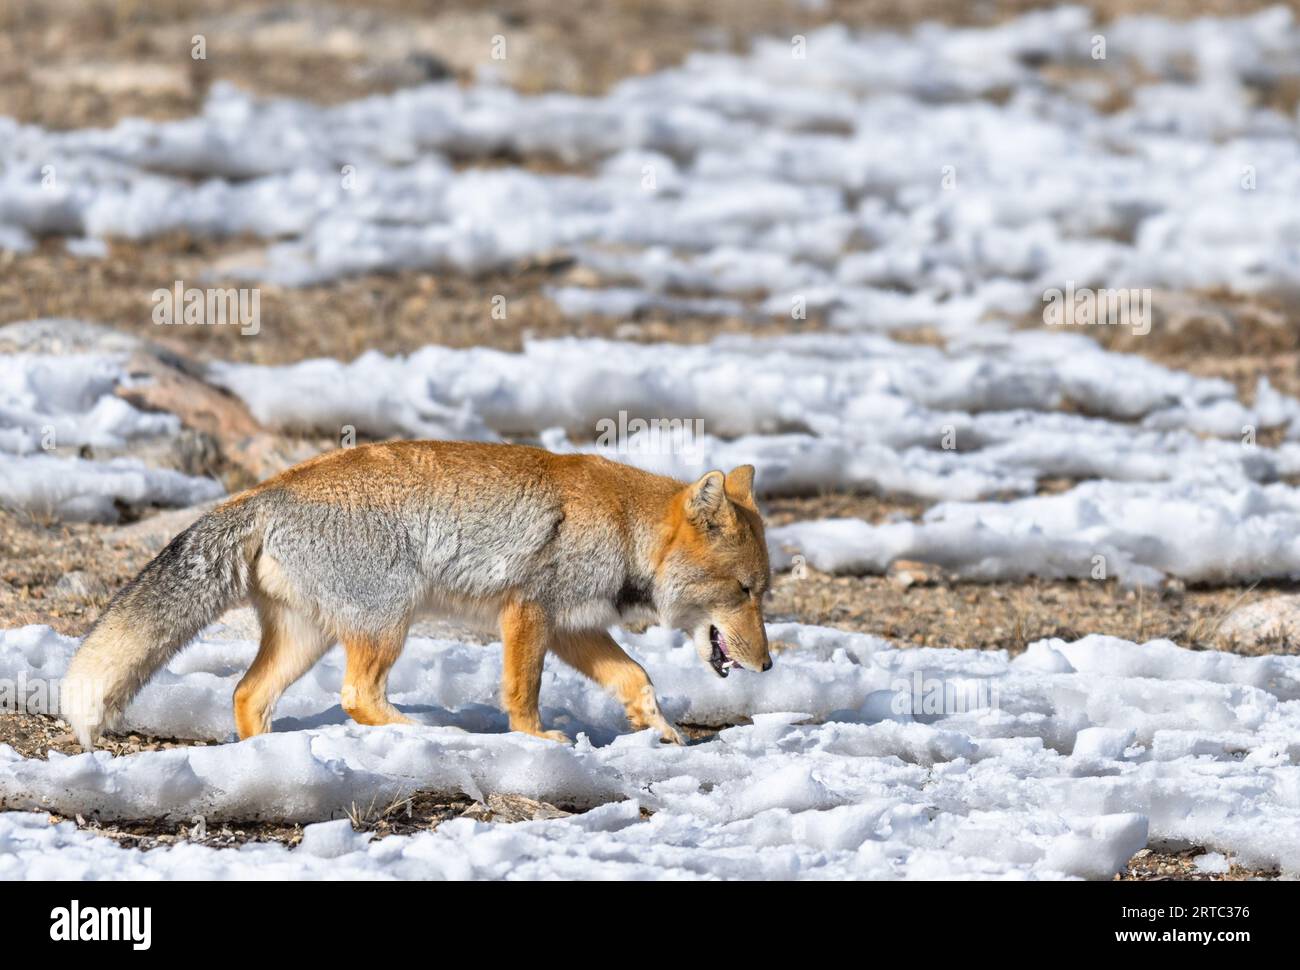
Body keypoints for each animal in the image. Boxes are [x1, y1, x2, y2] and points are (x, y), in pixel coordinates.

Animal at [61, 440, 773, 750]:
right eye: (744, 591)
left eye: (763, 593)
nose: (768, 664)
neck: (625, 527)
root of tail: (264, 491)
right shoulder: (530, 612)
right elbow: (522, 694)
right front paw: (536, 742)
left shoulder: (574, 627)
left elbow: (637, 679)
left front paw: (662, 730)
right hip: (388, 624)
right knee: (356, 696)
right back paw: (425, 733)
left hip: (307, 639)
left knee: (247, 695)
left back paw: (268, 757)